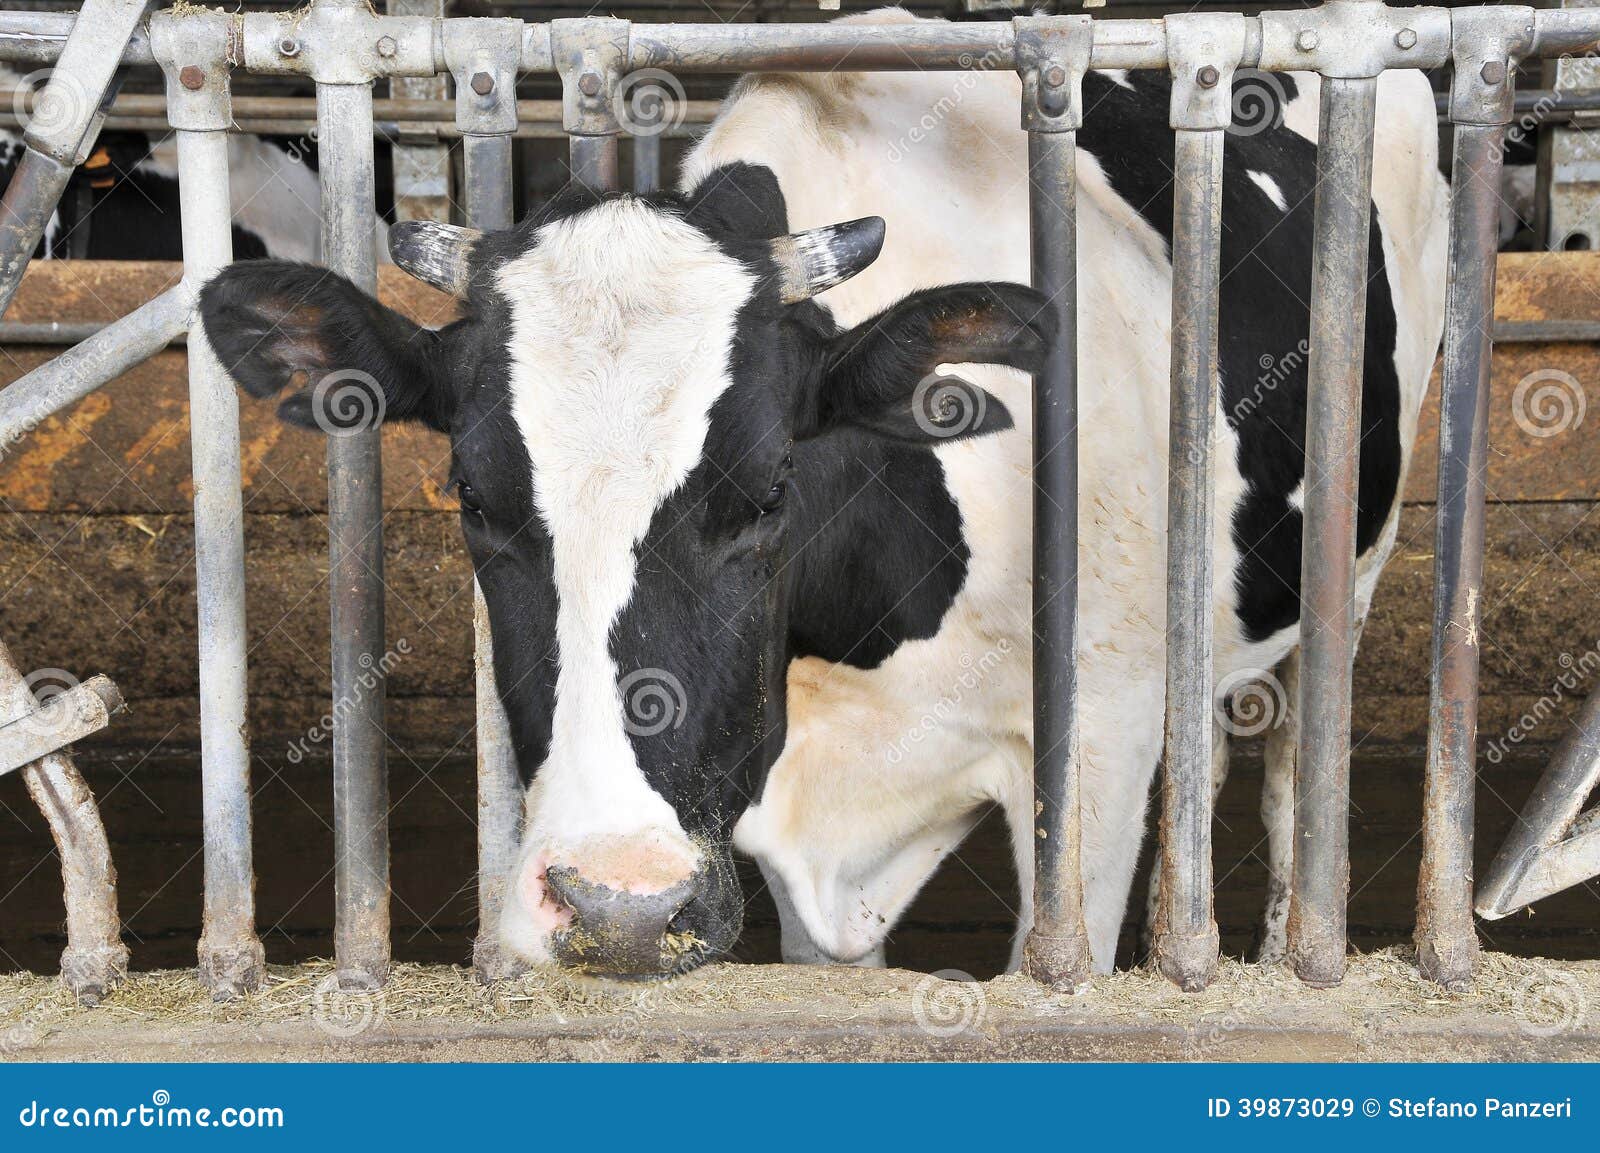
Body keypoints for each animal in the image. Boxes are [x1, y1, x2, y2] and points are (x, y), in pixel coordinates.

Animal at [197, 9, 1447, 979]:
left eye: (768, 492)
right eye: (471, 495)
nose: (619, 905)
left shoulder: (1099, 741)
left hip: (1353, 558)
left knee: (1293, 764)